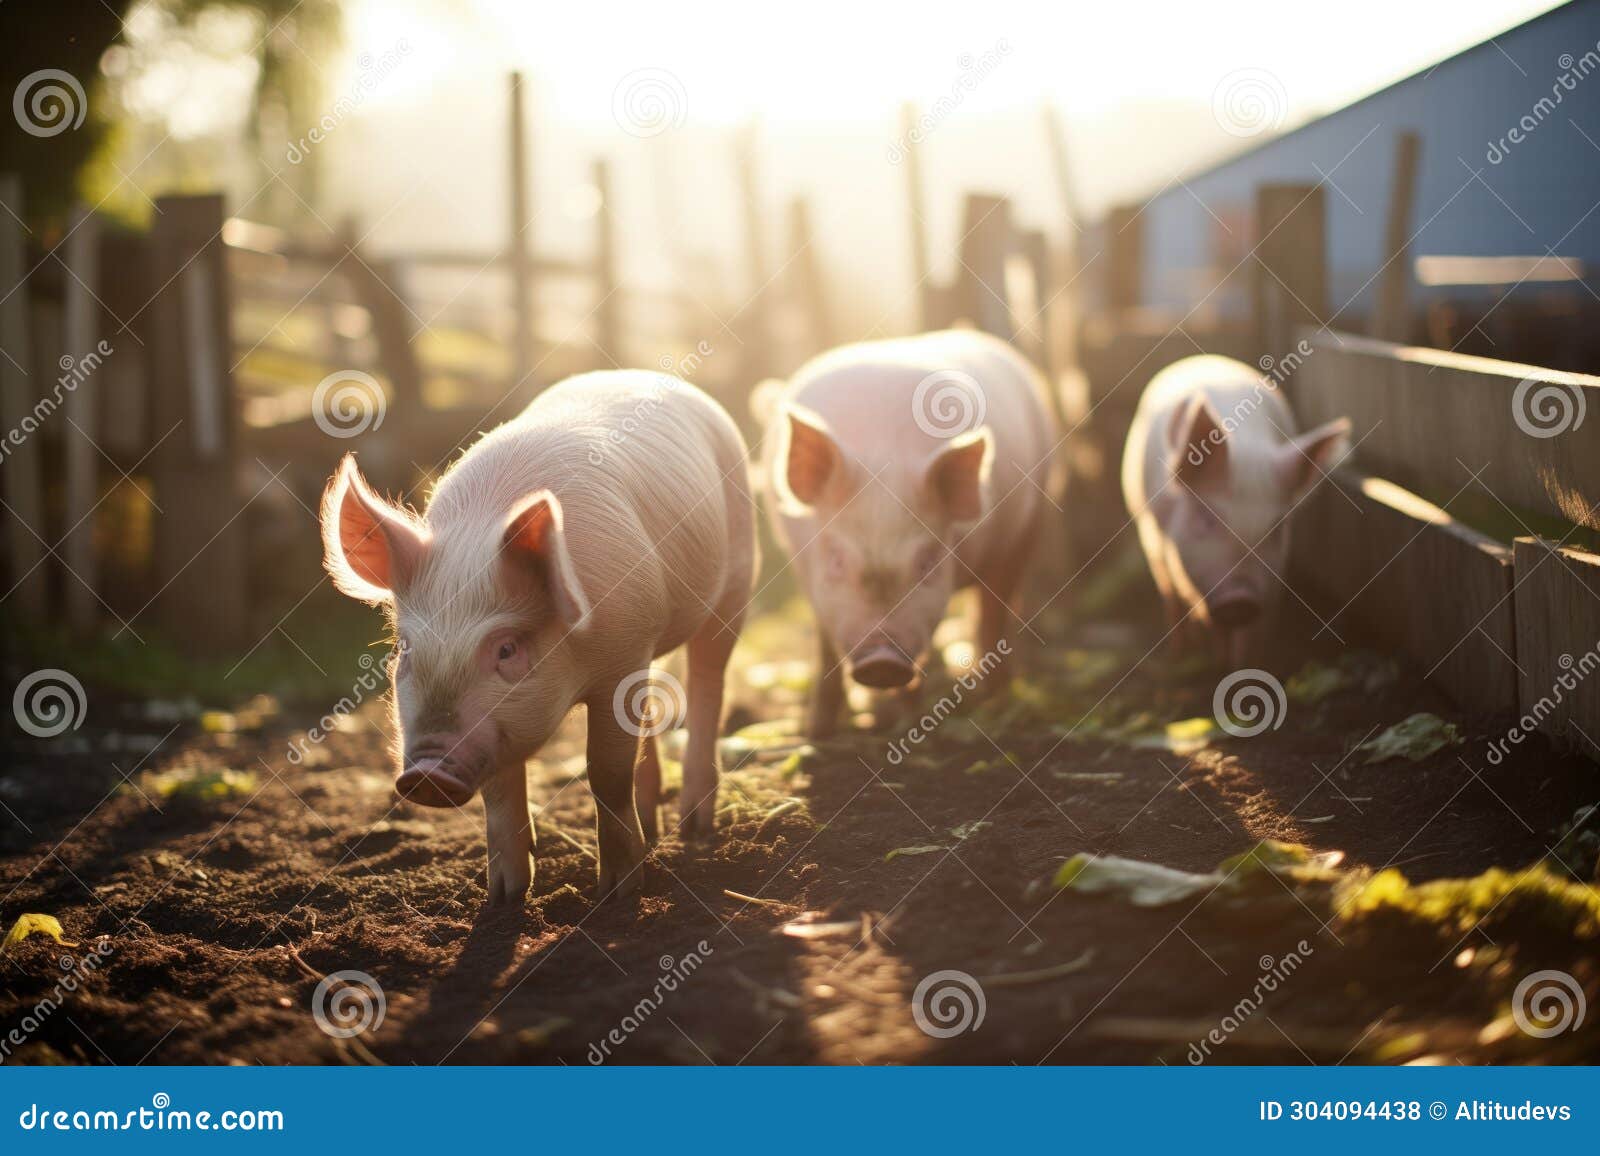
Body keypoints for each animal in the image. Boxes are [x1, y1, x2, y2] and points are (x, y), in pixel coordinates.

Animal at [319, 371, 757, 906]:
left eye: (507, 648)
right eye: (405, 648)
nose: (424, 773)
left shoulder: (623, 653)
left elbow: (606, 772)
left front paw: (619, 893)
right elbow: (500, 789)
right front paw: (504, 898)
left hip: (738, 579)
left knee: (708, 683)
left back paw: (695, 828)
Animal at [762, 330, 1058, 738]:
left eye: (927, 562)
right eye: (836, 560)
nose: (882, 661)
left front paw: (909, 722)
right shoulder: (806, 572)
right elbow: (825, 647)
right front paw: (816, 733)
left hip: (1033, 521)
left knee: (996, 611)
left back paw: (999, 700)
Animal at [1121, 354, 1350, 667]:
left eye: (1277, 528)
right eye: (1207, 519)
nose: (1241, 599)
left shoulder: (1271, 584)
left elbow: (1251, 637)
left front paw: (1238, 666)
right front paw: (1205, 658)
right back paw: (1180, 652)